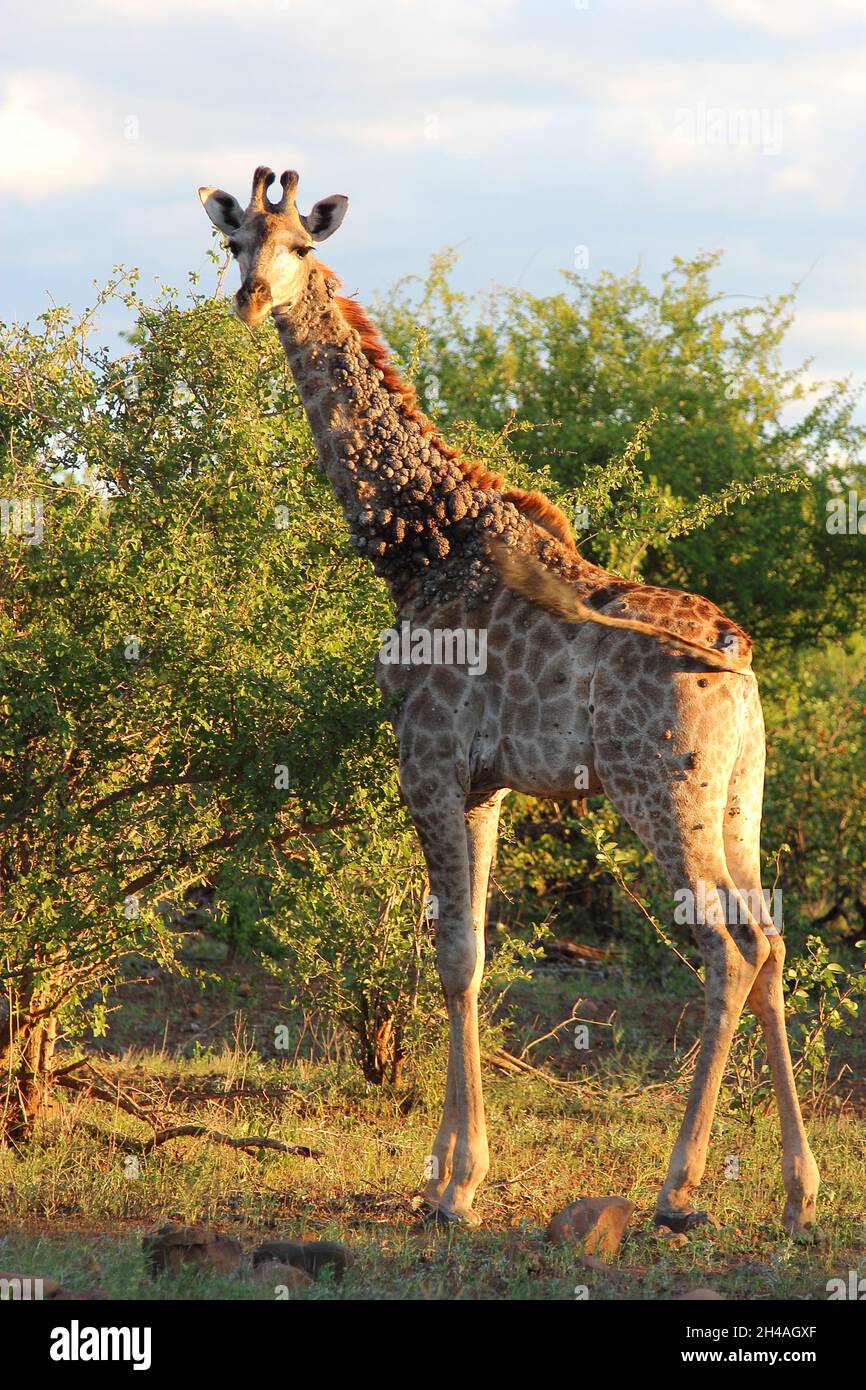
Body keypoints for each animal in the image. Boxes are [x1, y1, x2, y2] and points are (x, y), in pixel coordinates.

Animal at [199, 166, 819, 1236]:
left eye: (303, 248)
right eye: (238, 243)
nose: (248, 300)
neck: (418, 546)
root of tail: (739, 665)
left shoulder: (429, 757)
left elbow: (450, 955)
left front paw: (455, 1188)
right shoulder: (485, 783)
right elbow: (477, 953)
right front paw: (447, 1172)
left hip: (659, 792)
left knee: (729, 947)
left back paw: (679, 1188)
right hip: (739, 794)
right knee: (772, 939)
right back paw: (796, 1188)